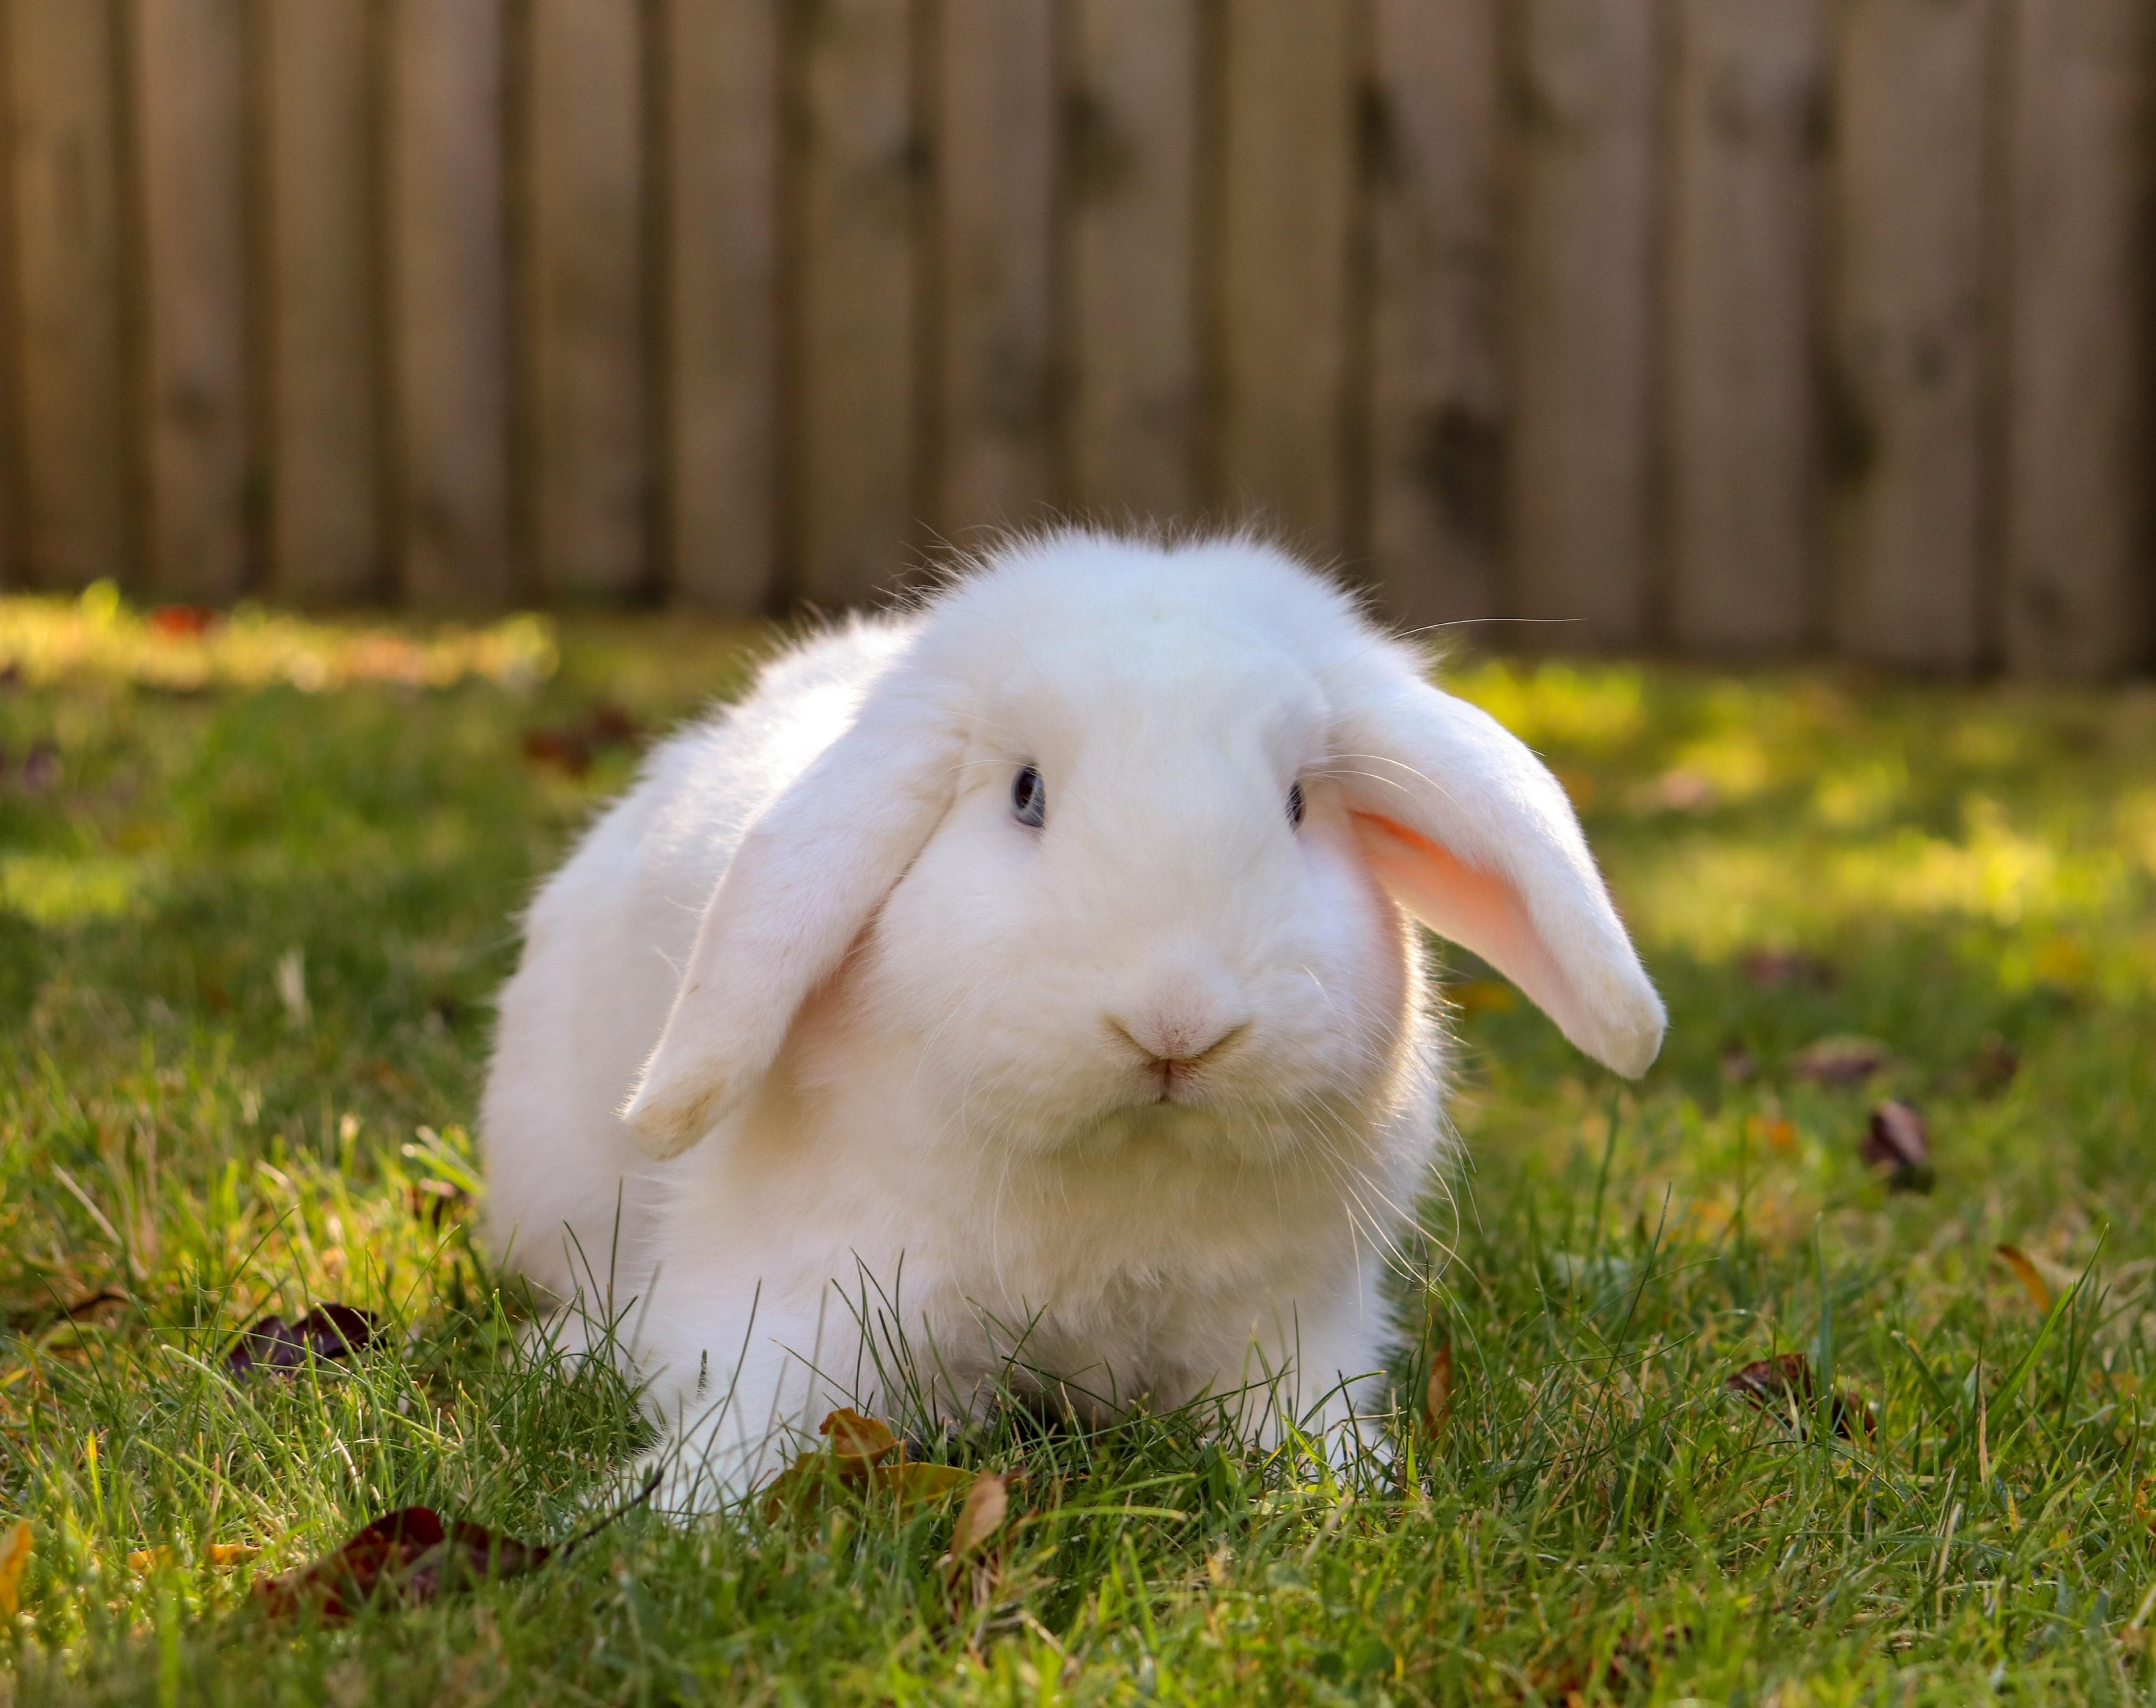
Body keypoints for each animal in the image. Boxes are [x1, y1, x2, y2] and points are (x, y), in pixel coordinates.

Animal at [478, 530, 1664, 1510]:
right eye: (1026, 793)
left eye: (1295, 806)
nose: (1176, 1022)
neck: (1124, 1171)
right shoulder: (798, 1293)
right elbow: (754, 1411)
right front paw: (657, 1518)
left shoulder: (1294, 1321)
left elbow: (1303, 1424)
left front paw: (1357, 1493)